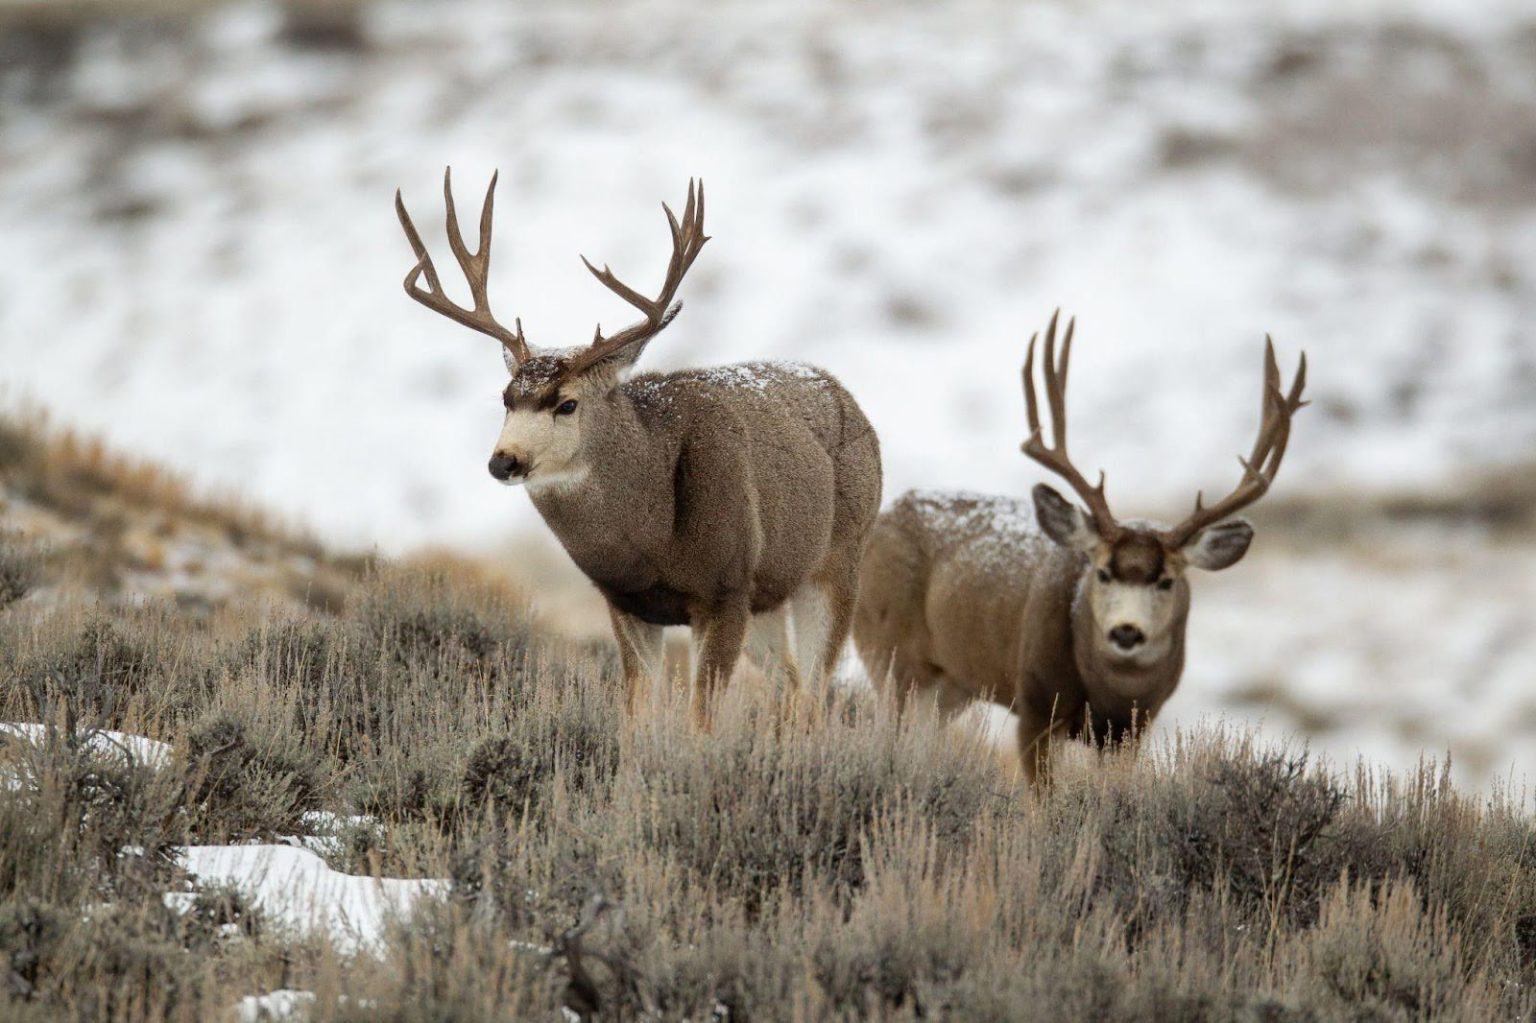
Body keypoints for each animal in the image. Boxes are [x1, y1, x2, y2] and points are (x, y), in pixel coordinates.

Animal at [394, 171, 882, 727]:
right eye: (505, 398)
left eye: (566, 403)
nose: (504, 461)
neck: (652, 539)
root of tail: (846, 396)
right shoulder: (626, 603)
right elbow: (637, 715)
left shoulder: (726, 589)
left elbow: (700, 721)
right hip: (771, 595)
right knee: (791, 685)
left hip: (838, 560)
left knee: (815, 693)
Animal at [853, 310, 1306, 784]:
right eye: (1102, 572)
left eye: (1166, 580)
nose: (1126, 631)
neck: (1107, 695)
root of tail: (881, 519)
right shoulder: (1034, 706)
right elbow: (1042, 797)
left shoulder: (1131, 729)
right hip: (891, 655)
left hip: (951, 685)